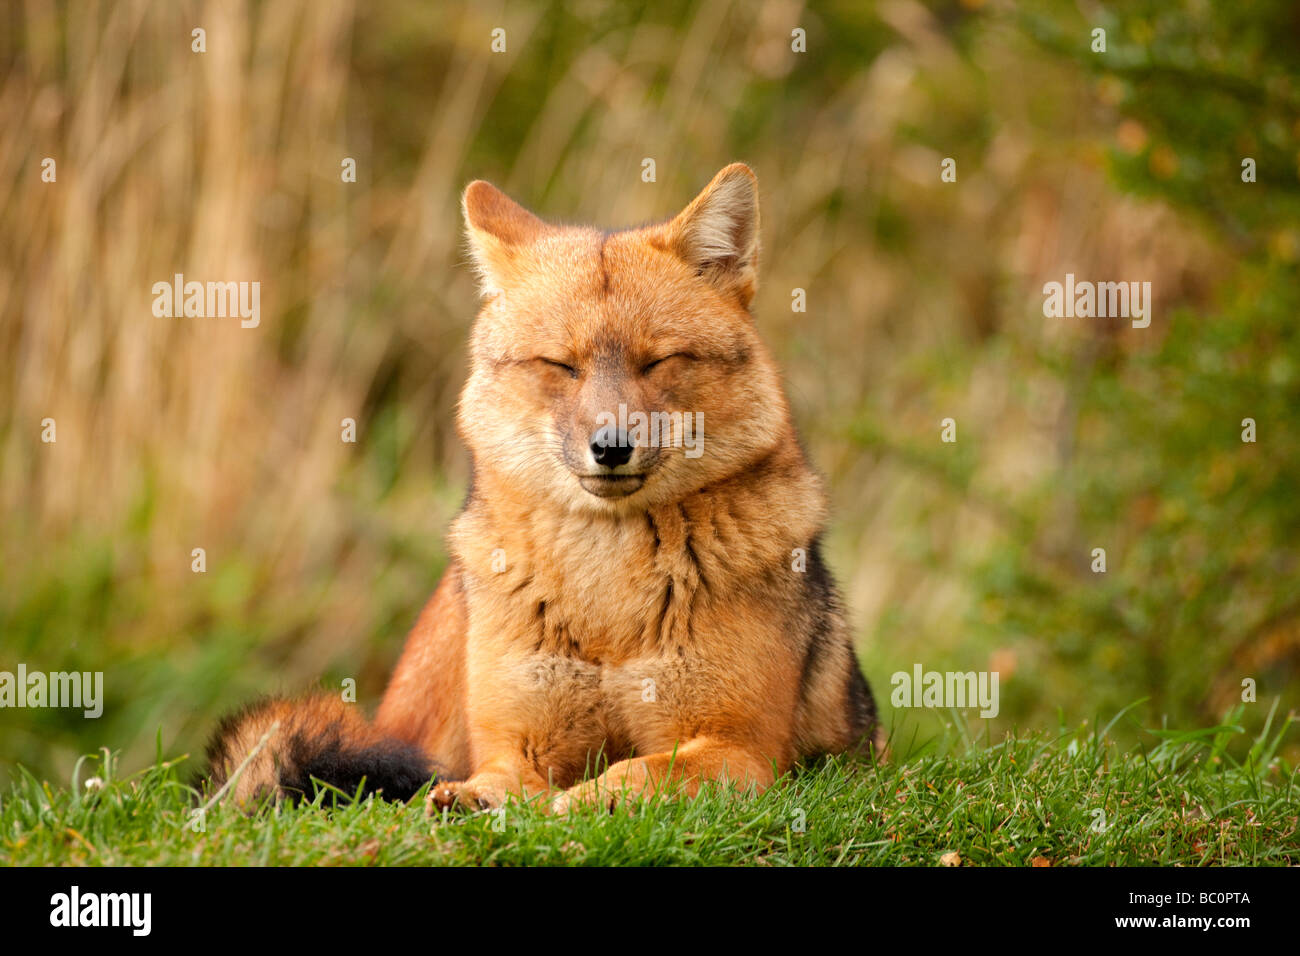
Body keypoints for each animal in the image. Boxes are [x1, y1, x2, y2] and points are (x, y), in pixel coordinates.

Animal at [204, 163, 885, 813]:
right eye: (561, 365)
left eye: (659, 361)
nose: (611, 446)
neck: (609, 603)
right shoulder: (515, 744)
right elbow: (499, 779)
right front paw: (473, 799)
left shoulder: (739, 749)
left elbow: (639, 770)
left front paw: (593, 799)